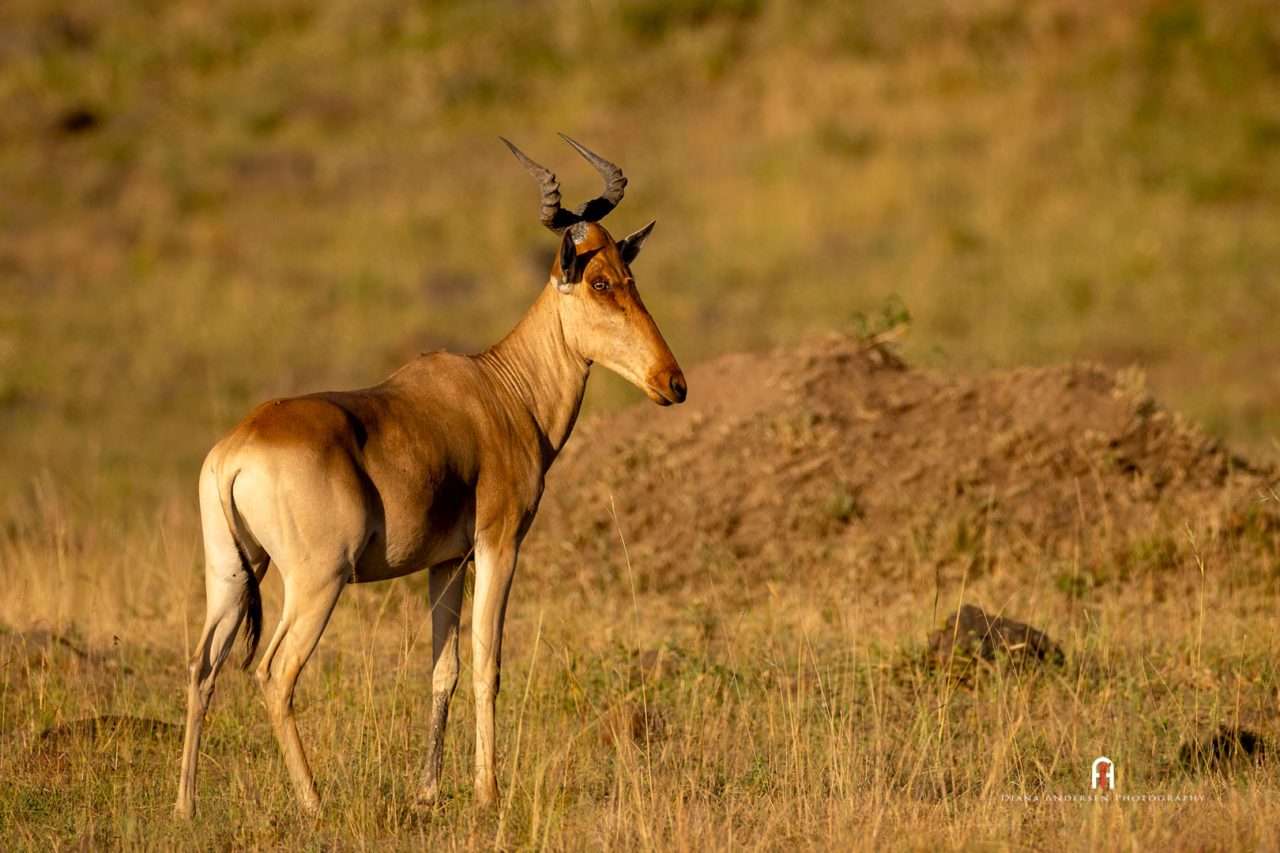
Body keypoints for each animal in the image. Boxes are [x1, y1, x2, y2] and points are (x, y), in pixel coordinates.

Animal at [174, 135, 686, 818]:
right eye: (599, 281)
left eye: (631, 278)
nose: (673, 383)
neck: (498, 389)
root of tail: (236, 451)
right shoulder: (498, 543)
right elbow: (487, 664)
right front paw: (488, 791)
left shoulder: (445, 561)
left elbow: (443, 669)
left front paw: (428, 791)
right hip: (317, 580)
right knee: (275, 673)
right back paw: (314, 803)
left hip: (232, 571)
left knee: (203, 667)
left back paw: (185, 806)